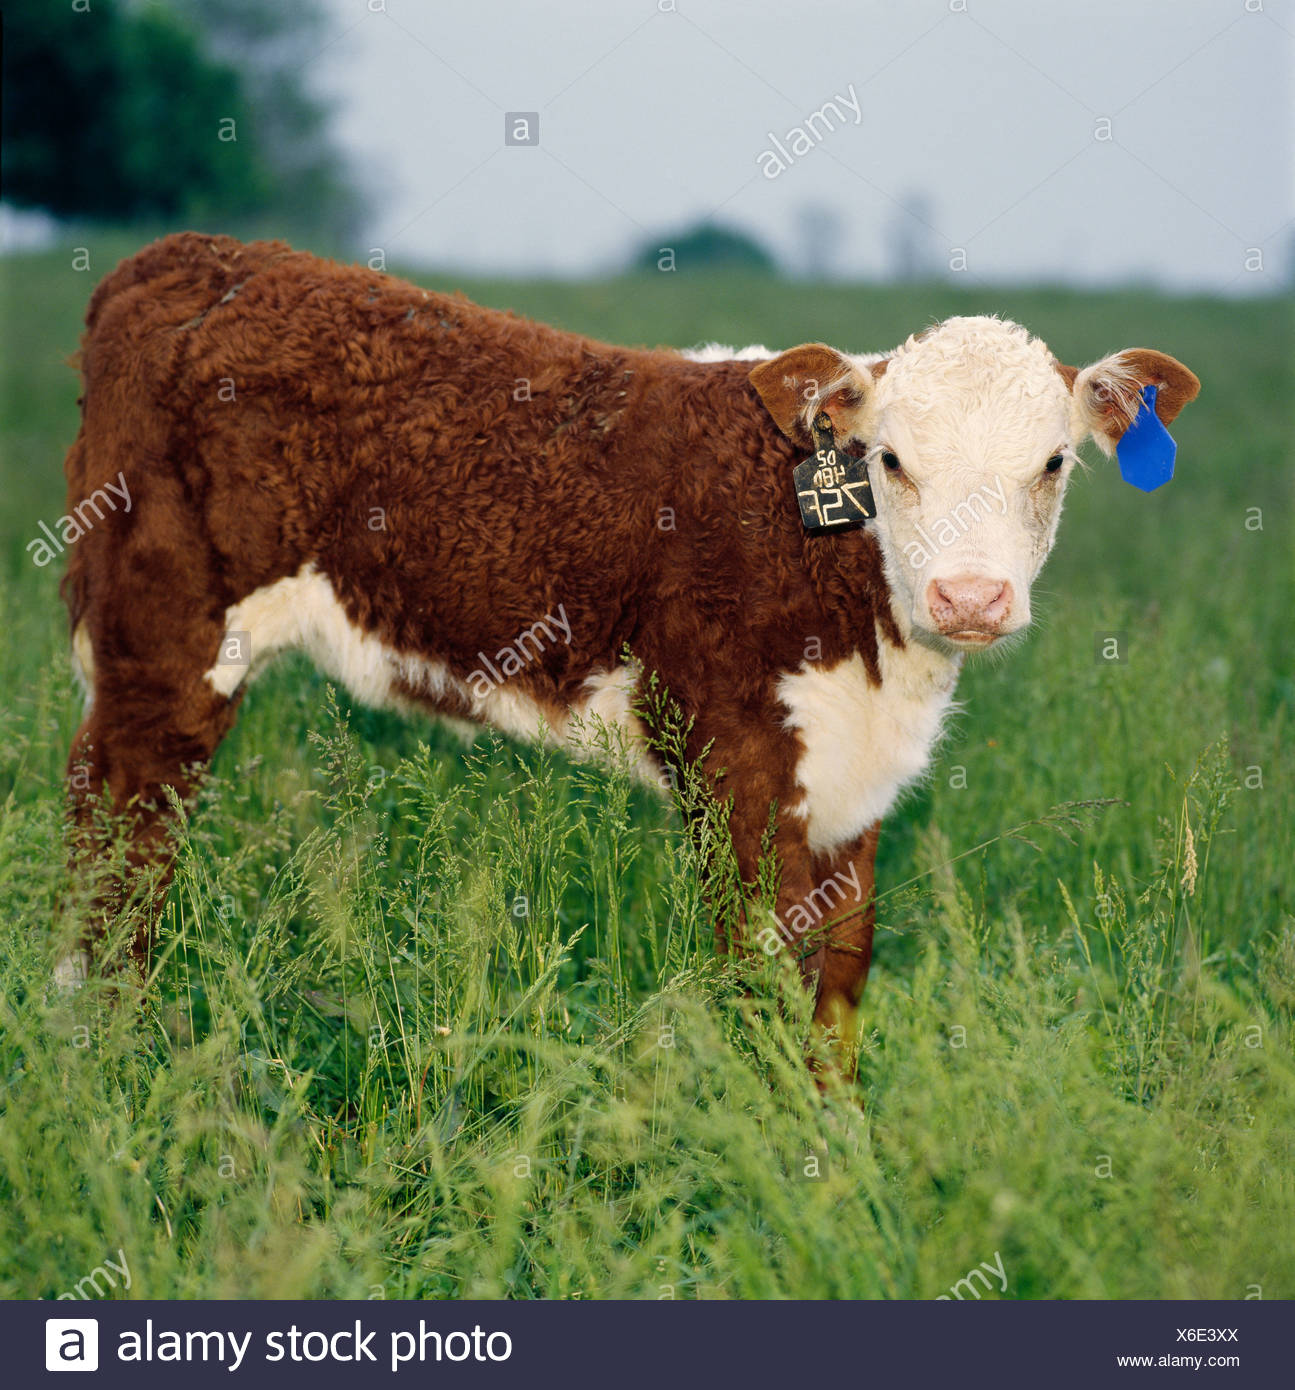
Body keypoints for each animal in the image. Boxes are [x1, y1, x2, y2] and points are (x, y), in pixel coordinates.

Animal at [56, 232, 1200, 1029]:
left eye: (1051, 463)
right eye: (888, 461)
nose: (969, 597)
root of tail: (192, 257)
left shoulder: (851, 782)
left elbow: (837, 980)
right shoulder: (732, 759)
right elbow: (761, 979)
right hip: (166, 637)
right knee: (119, 833)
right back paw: (99, 1044)